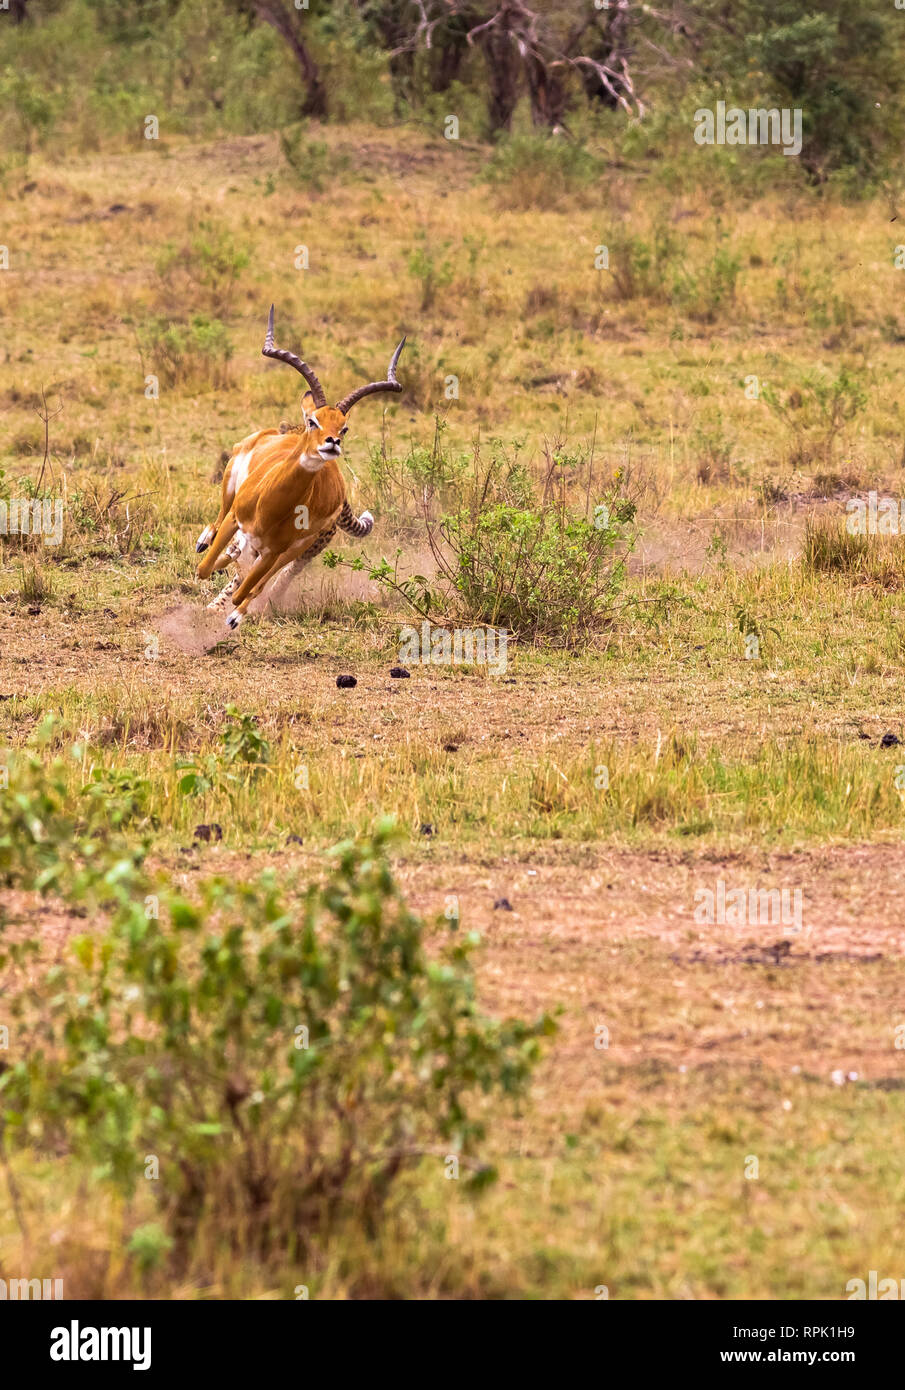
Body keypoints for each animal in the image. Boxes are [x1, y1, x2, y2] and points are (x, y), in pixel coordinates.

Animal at [196, 306, 405, 628]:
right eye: (313, 421)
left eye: (344, 428)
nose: (332, 443)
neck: (270, 506)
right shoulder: (236, 519)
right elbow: (207, 569)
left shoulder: (277, 552)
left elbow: (247, 589)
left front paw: (235, 615)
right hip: (231, 483)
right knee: (219, 531)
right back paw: (207, 545)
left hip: (294, 550)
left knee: (256, 580)